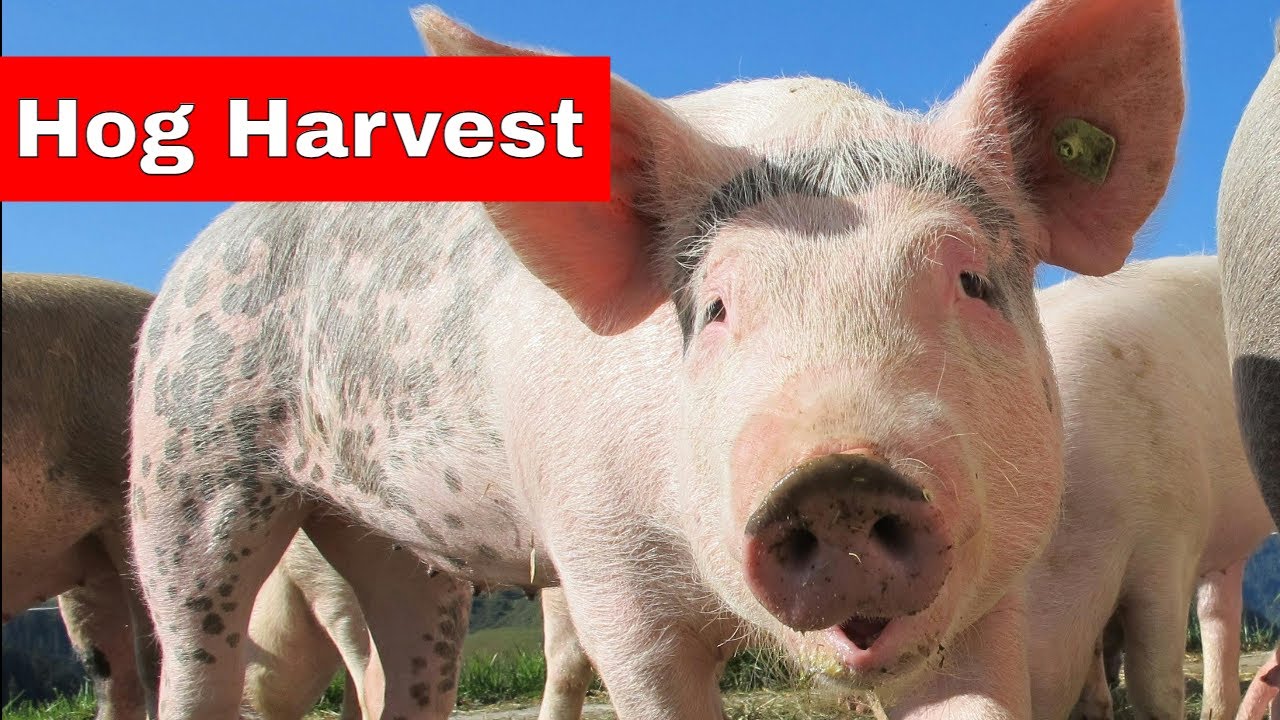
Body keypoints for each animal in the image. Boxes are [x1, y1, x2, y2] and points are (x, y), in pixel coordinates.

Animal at [124, 1, 1185, 718]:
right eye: (714, 308)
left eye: (970, 281)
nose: (839, 477)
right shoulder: (603, 572)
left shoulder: (993, 588)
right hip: (186, 458)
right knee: (194, 652)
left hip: (393, 546)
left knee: (403, 670)